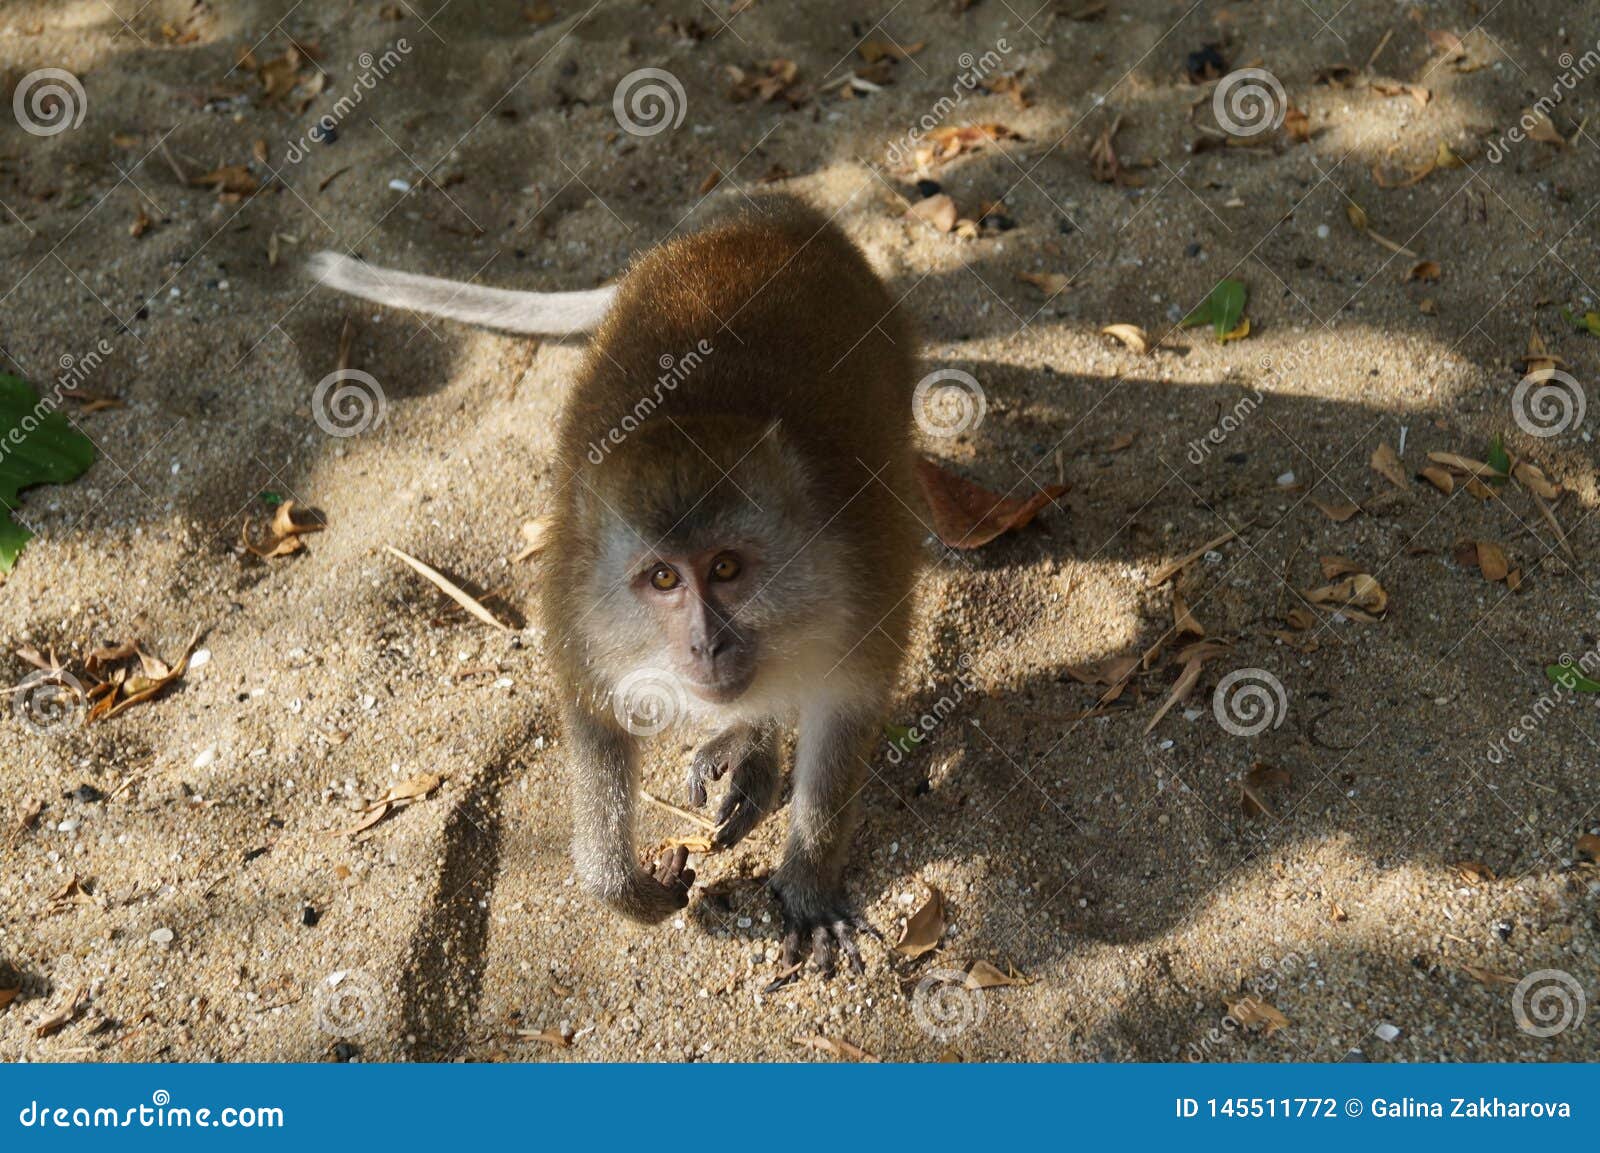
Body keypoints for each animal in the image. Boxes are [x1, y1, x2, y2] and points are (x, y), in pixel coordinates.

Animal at [310, 200, 921, 976]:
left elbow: (845, 712)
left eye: (726, 567)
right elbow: (593, 710)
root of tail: (768, 218)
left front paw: (809, 881)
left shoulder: (868, 577)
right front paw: (622, 884)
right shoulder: (581, 608)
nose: (707, 645)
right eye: (662, 578)